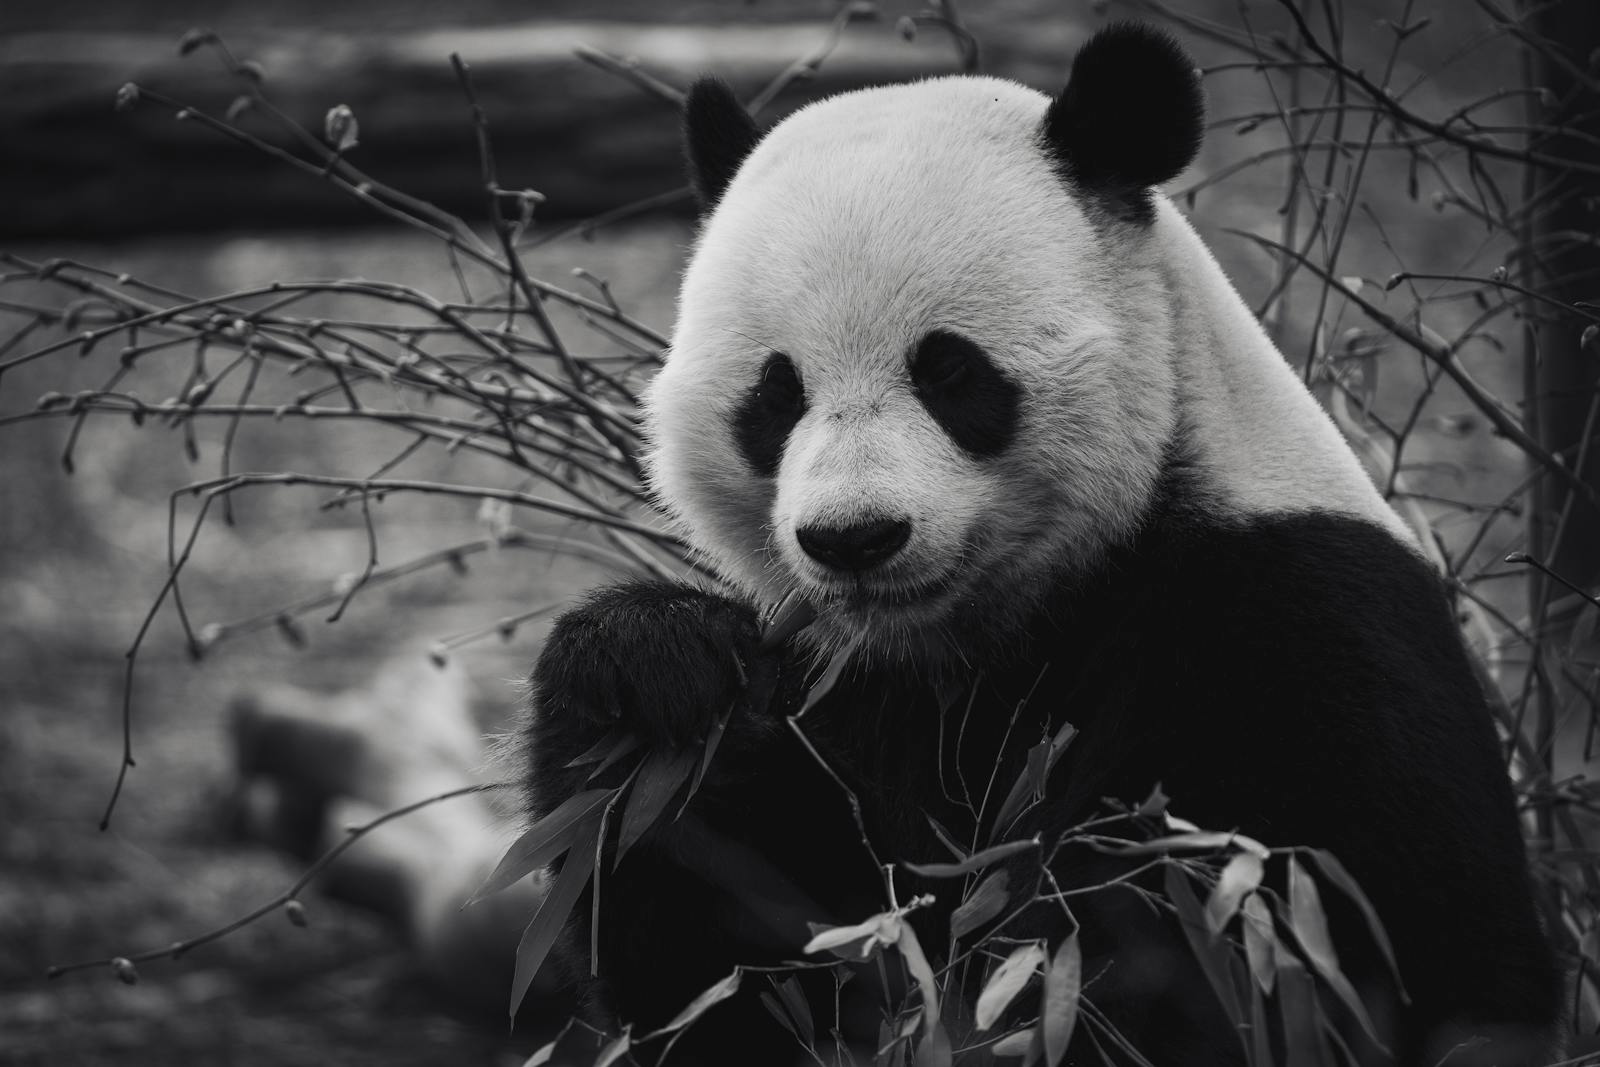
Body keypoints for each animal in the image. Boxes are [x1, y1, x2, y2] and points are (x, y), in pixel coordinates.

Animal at [525, 22, 1560, 1066]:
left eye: (949, 371)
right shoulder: (852, 690)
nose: (854, 538)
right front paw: (653, 666)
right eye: (776, 394)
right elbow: (744, 966)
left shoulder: (1299, 630)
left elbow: (1286, 955)